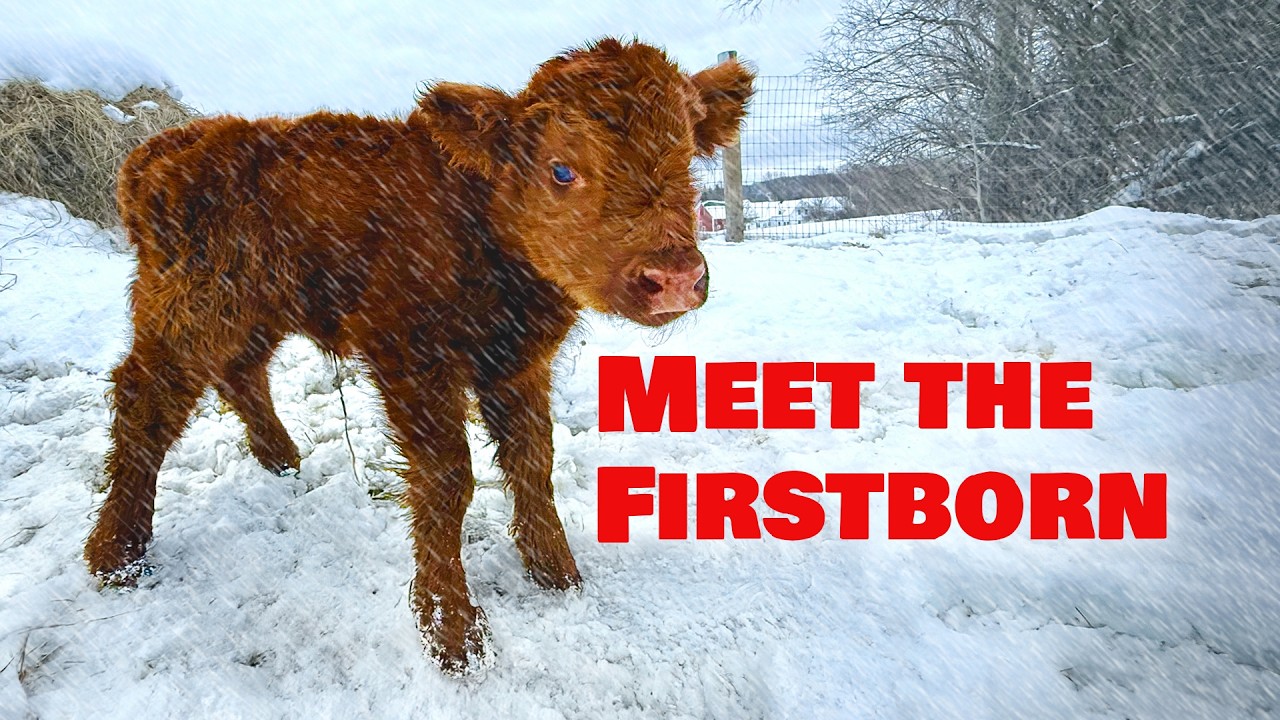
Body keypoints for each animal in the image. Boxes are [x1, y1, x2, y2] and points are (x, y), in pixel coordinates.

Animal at [83, 38, 754, 675]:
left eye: (687, 157)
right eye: (562, 170)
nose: (674, 278)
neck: (475, 223)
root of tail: (164, 147)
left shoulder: (517, 363)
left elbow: (533, 461)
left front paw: (555, 572)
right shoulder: (412, 359)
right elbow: (448, 479)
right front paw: (451, 628)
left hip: (251, 312)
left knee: (239, 371)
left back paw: (281, 459)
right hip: (189, 310)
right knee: (146, 399)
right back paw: (116, 553)